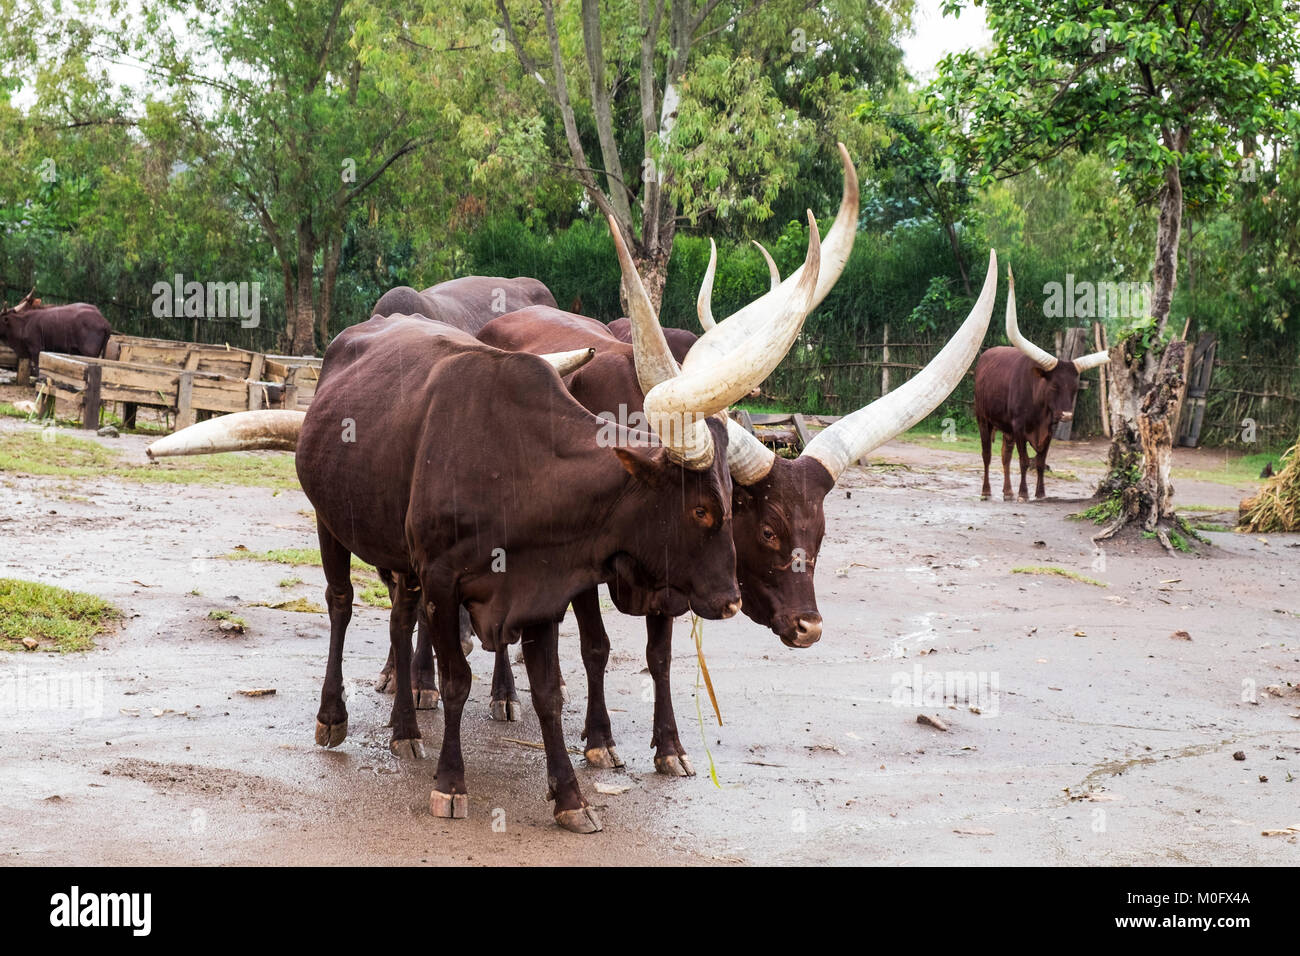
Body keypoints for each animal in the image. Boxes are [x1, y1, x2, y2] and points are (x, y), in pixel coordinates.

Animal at [144, 217, 824, 832]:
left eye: (734, 503)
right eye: (704, 510)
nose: (729, 599)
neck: (518, 466)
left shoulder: (543, 588)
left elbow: (549, 691)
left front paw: (570, 797)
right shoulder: (447, 582)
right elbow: (455, 679)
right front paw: (451, 784)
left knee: (399, 619)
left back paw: (404, 728)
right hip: (330, 524)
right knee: (340, 605)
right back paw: (333, 717)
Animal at [974, 270, 1110, 501]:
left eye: (1075, 388)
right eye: (1054, 386)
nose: (1066, 415)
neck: (1039, 407)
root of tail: (986, 356)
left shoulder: (1048, 429)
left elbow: (1039, 462)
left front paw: (1040, 493)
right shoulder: (1019, 427)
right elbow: (1024, 461)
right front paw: (1023, 494)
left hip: (1006, 428)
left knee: (1005, 455)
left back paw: (1007, 492)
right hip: (983, 419)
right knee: (987, 455)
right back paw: (986, 491)